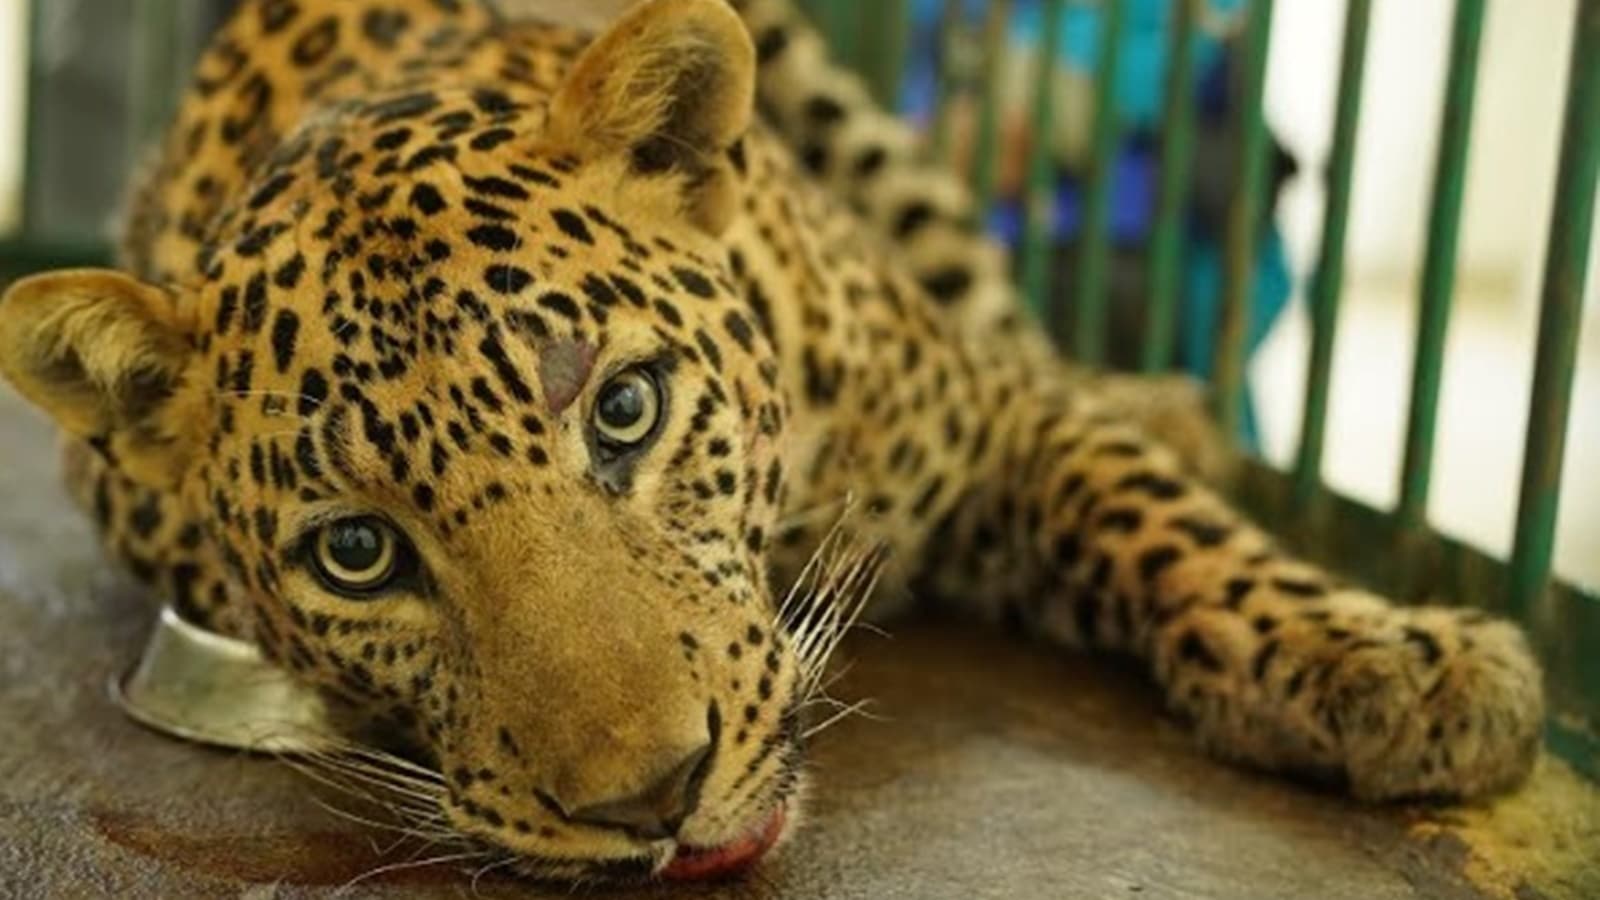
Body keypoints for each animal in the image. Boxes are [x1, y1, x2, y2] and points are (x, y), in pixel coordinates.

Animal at [0, 0, 1545, 885]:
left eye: (624, 410)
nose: (656, 798)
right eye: (360, 555)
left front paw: (1394, 663)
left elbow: (1146, 510)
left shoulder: (990, 420)